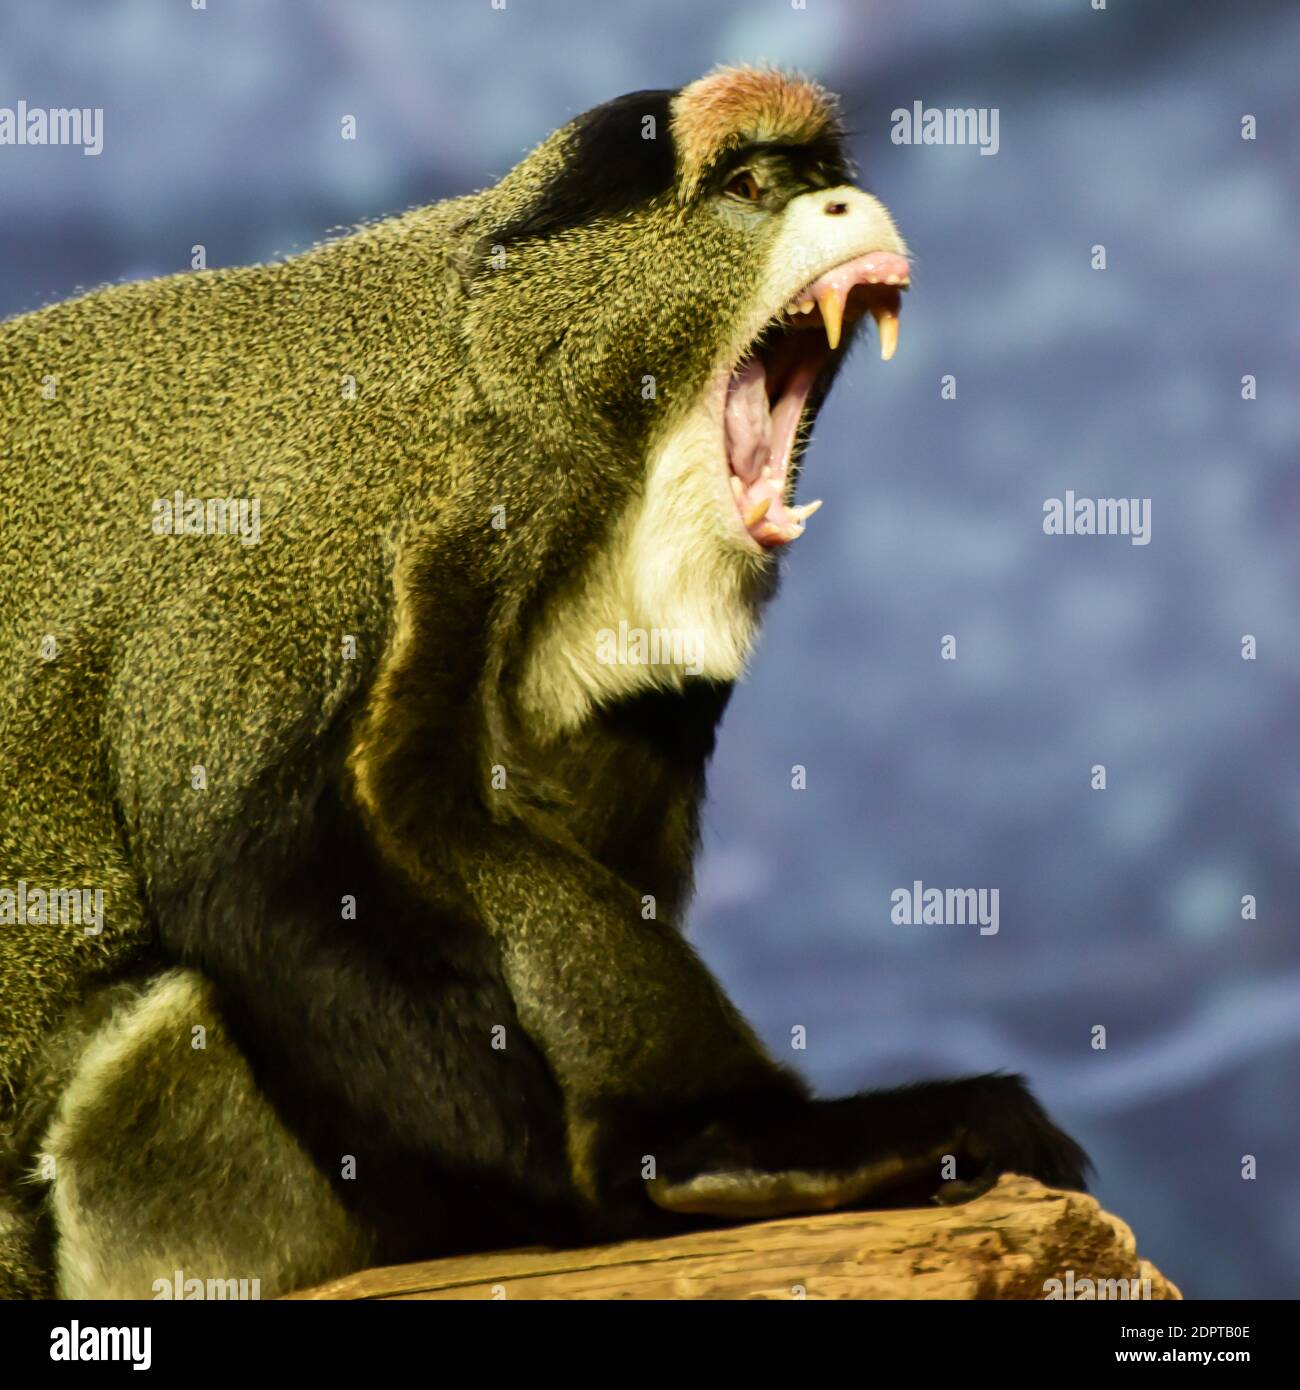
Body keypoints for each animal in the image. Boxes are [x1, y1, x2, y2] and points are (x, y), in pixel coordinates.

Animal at [0, 65, 1088, 1300]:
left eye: (819, 174)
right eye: (751, 187)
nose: (848, 205)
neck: (503, 367)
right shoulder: (336, 532)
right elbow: (263, 874)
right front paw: (606, 1184)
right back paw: (735, 1148)